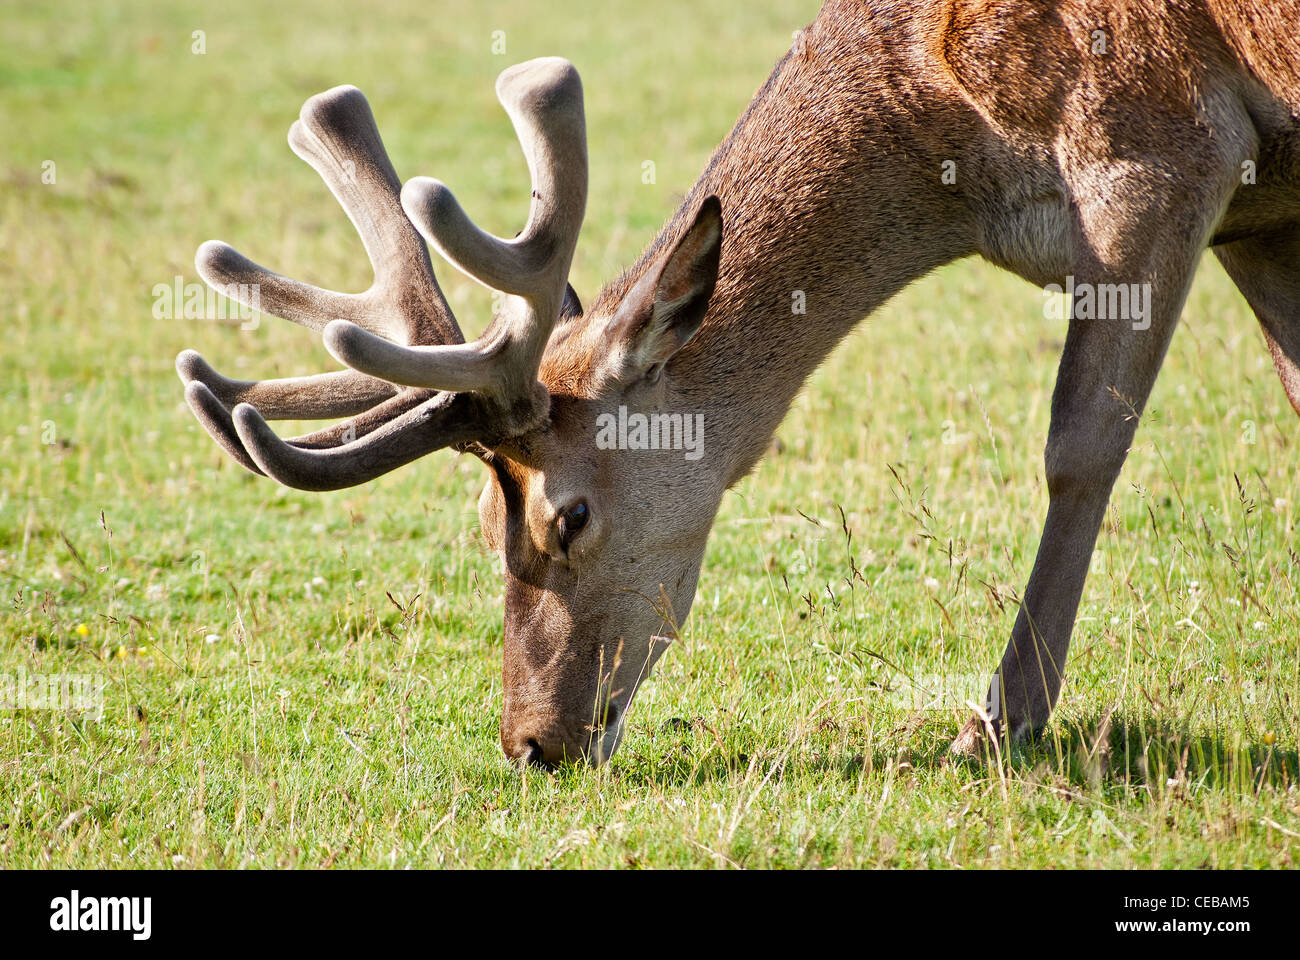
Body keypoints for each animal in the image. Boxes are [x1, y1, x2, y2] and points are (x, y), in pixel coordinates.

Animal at [171, 0, 1300, 767]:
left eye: (568, 517)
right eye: (484, 524)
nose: (529, 742)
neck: (956, 149)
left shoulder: (1162, 155)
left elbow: (1079, 448)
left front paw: (998, 721)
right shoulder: (1260, 211)